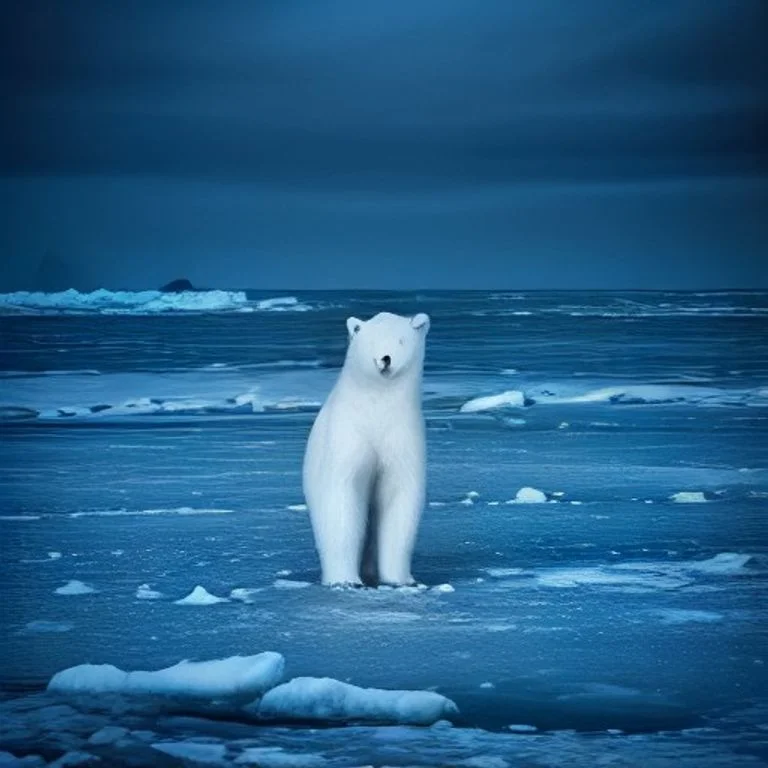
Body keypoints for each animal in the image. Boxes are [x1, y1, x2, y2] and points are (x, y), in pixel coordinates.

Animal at [302, 311, 431, 587]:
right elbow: (342, 499)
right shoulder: (348, 437)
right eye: (371, 341)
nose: (385, 358)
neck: (376, 404)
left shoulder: (403, 439)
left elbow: (398, 500)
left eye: (401, 340)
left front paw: (399, 579)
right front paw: (345, 579)